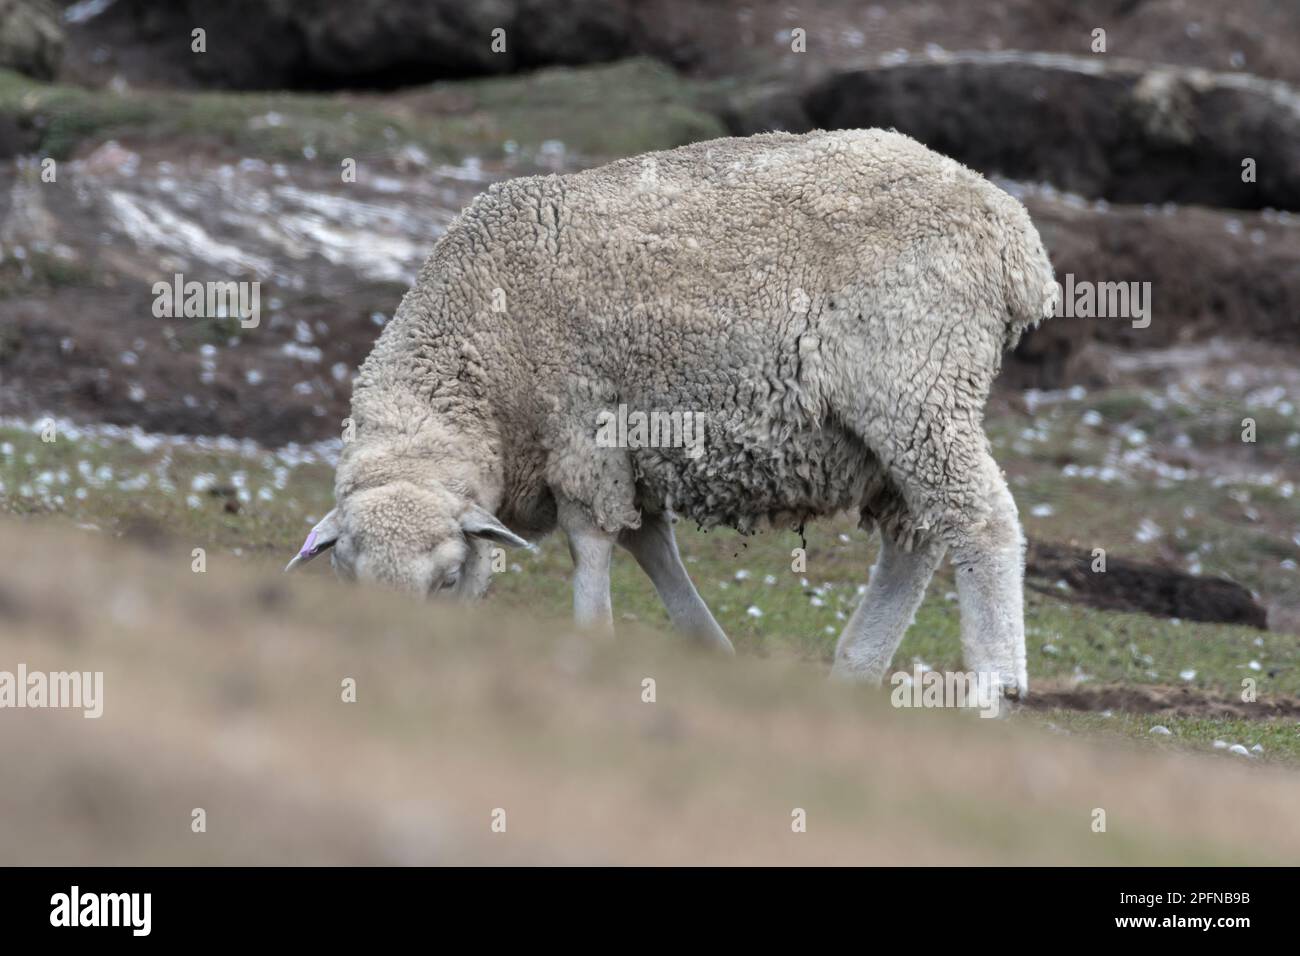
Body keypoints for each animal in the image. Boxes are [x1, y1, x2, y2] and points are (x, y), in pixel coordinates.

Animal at [285, 128, 1056, 699]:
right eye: (346, 578)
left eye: (446, 580)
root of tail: (1010, 228)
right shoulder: (625, 451)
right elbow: (650, 543)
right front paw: (710, 647)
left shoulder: (584, 431)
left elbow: (593, 543)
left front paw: (592, 641)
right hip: (899, 418)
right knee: (916, 537)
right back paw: (856, 671)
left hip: (915, 382)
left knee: (982, 520)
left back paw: (995, 689)